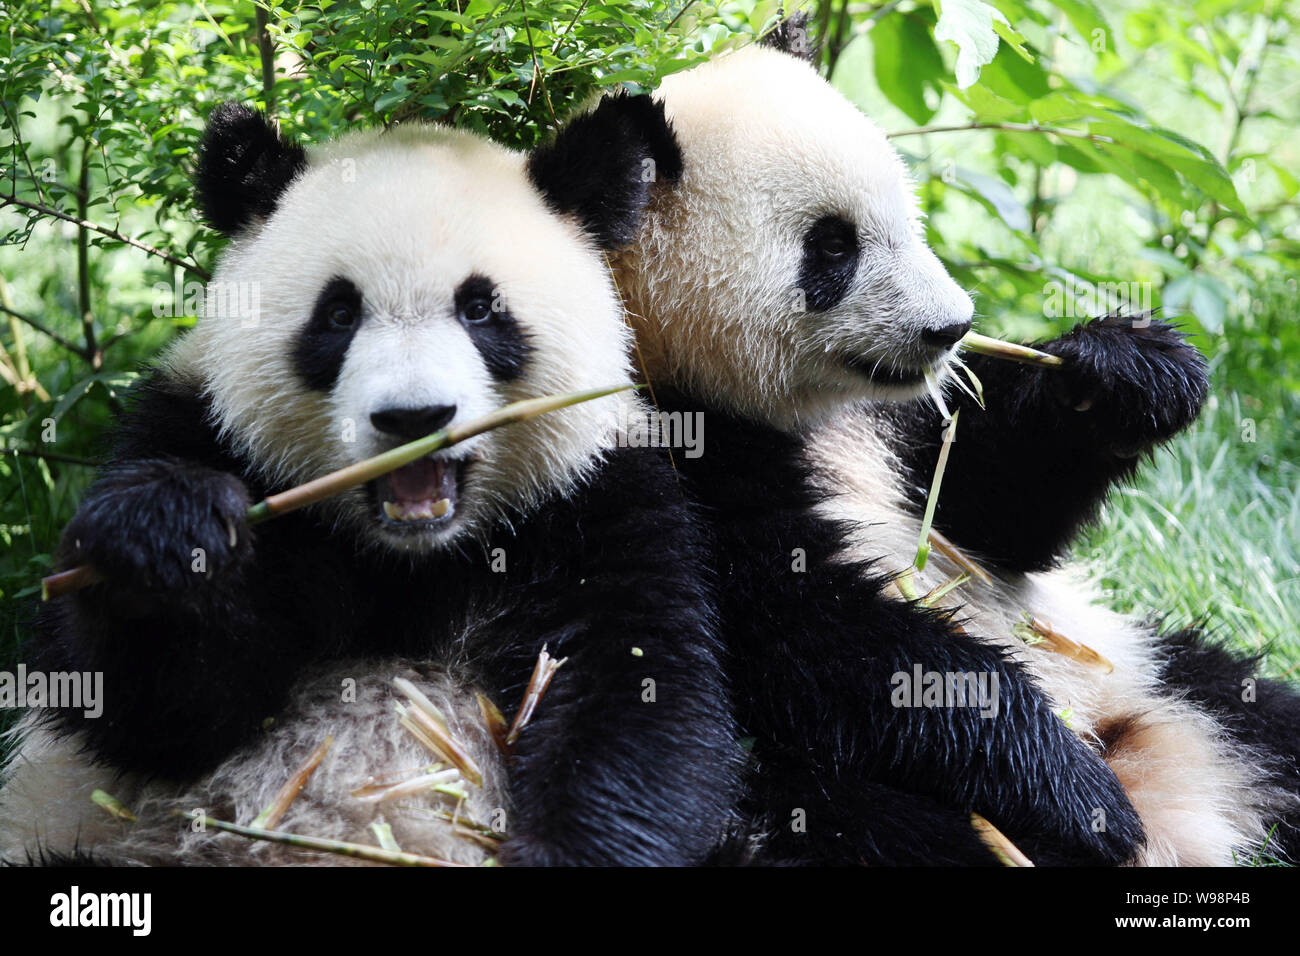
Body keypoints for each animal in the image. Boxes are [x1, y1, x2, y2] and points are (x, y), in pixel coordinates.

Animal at [0, 98, 744, 866]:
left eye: (480, 309)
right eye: (338, 314)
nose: (414, 416)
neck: (414, 557)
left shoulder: (595, 499)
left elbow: (634, 701)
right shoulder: (195, 428)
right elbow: (144, 708)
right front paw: (170, 538)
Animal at [609, 22, 1300, 865]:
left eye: (907, 218)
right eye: (831, 247)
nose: (952, 327)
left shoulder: (892, 427)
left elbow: (993, 507)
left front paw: (1131, 372)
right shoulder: (681, 453)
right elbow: (817, 639)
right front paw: (1072, 788)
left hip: (1156, 673)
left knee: (1257, 711)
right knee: (851, 821)